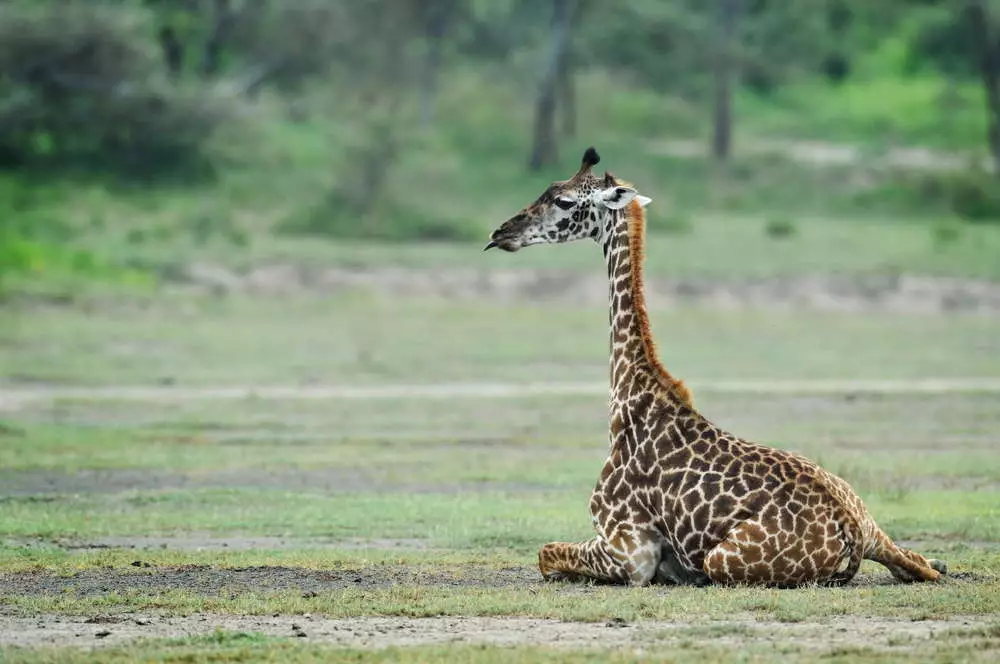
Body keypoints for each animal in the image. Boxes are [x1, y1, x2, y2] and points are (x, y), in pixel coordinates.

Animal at [484, 149, 944, 588]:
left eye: (563, 200)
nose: (500, 233)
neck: (630, 394)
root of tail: (850, 529)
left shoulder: (631, 550)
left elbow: (545, 554)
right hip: (873, 524)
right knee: (922, 564)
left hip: (722, 560)